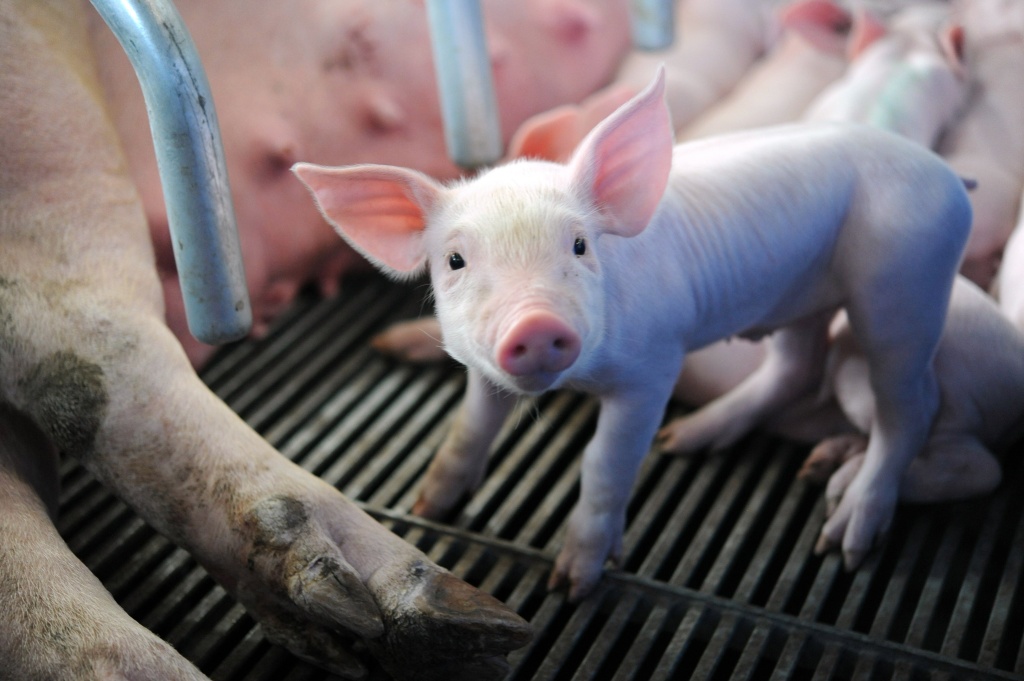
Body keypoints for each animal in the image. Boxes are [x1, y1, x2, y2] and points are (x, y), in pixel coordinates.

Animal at [294, 68, 973, 600]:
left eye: (579, 244)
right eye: (455, 260)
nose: (536, 323)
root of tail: (947, 176)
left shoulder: (653, 370)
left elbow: (604, 462)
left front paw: (571, 585)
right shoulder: (484, 371)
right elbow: (468, 429)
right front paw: (425, 508)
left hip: (903, 281)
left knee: (911, 405)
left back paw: (843, 540)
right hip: (804, 293)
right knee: (796, 368)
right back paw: (686, 439)